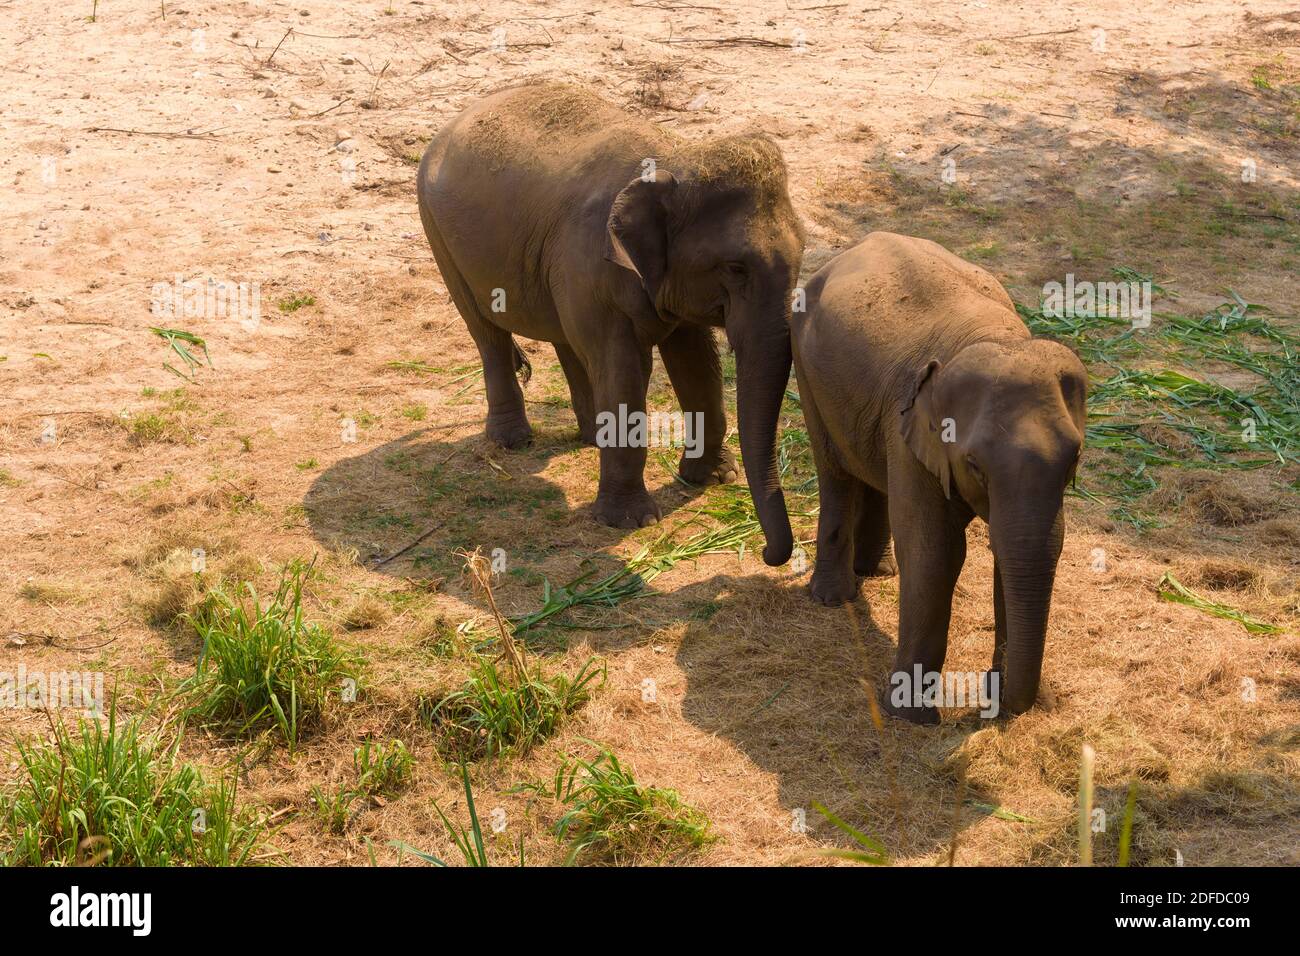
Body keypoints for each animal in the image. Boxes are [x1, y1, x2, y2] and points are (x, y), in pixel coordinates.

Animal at [417, 83, 804, 565]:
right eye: (735, 268)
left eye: (804, 251)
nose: (769, 554)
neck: (676, 157)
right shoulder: (591, 263)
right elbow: (623, 371)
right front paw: (631, 521)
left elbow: (697, 363)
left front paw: (713, 478)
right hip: (438, 234)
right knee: (487, 331)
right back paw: (513, 441)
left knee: (565, 337)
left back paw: (589, 437)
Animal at [790, 232, 1088, 723]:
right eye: (974, 465)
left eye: (1074, 461)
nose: (993, 701)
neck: (991, 336)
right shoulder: (911, 428)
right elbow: (935, 552)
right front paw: (910, 715)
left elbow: (1017, 551)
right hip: (806, 368)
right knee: (834, 470)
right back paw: (834, 597)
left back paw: (877, 571)